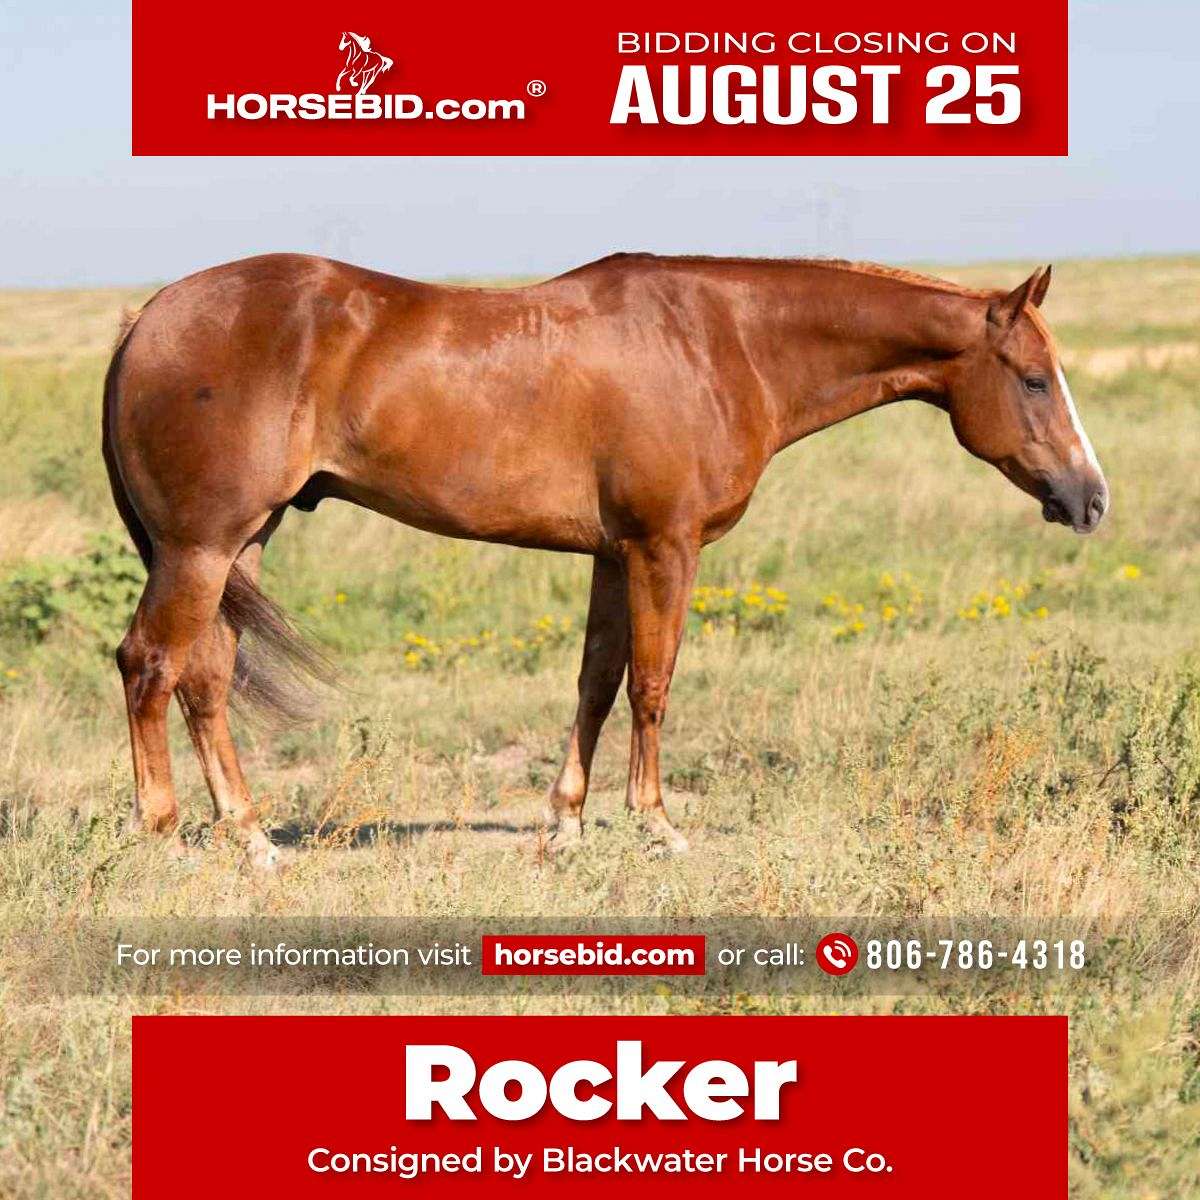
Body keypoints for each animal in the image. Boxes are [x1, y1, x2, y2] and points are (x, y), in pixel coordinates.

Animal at [102, 253, 1108, 868]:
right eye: (1033, 379)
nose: (1090, 498)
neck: (721, 343)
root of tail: (146, 319)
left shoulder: (612, 553)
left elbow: (596, 678)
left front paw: (566, 823)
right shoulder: (665, 546)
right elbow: (653, 683)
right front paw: (657, 826)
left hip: (243, 545)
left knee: (206, 679)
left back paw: (251, 839)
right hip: (200, 550)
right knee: (150, 666)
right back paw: (164, 836)